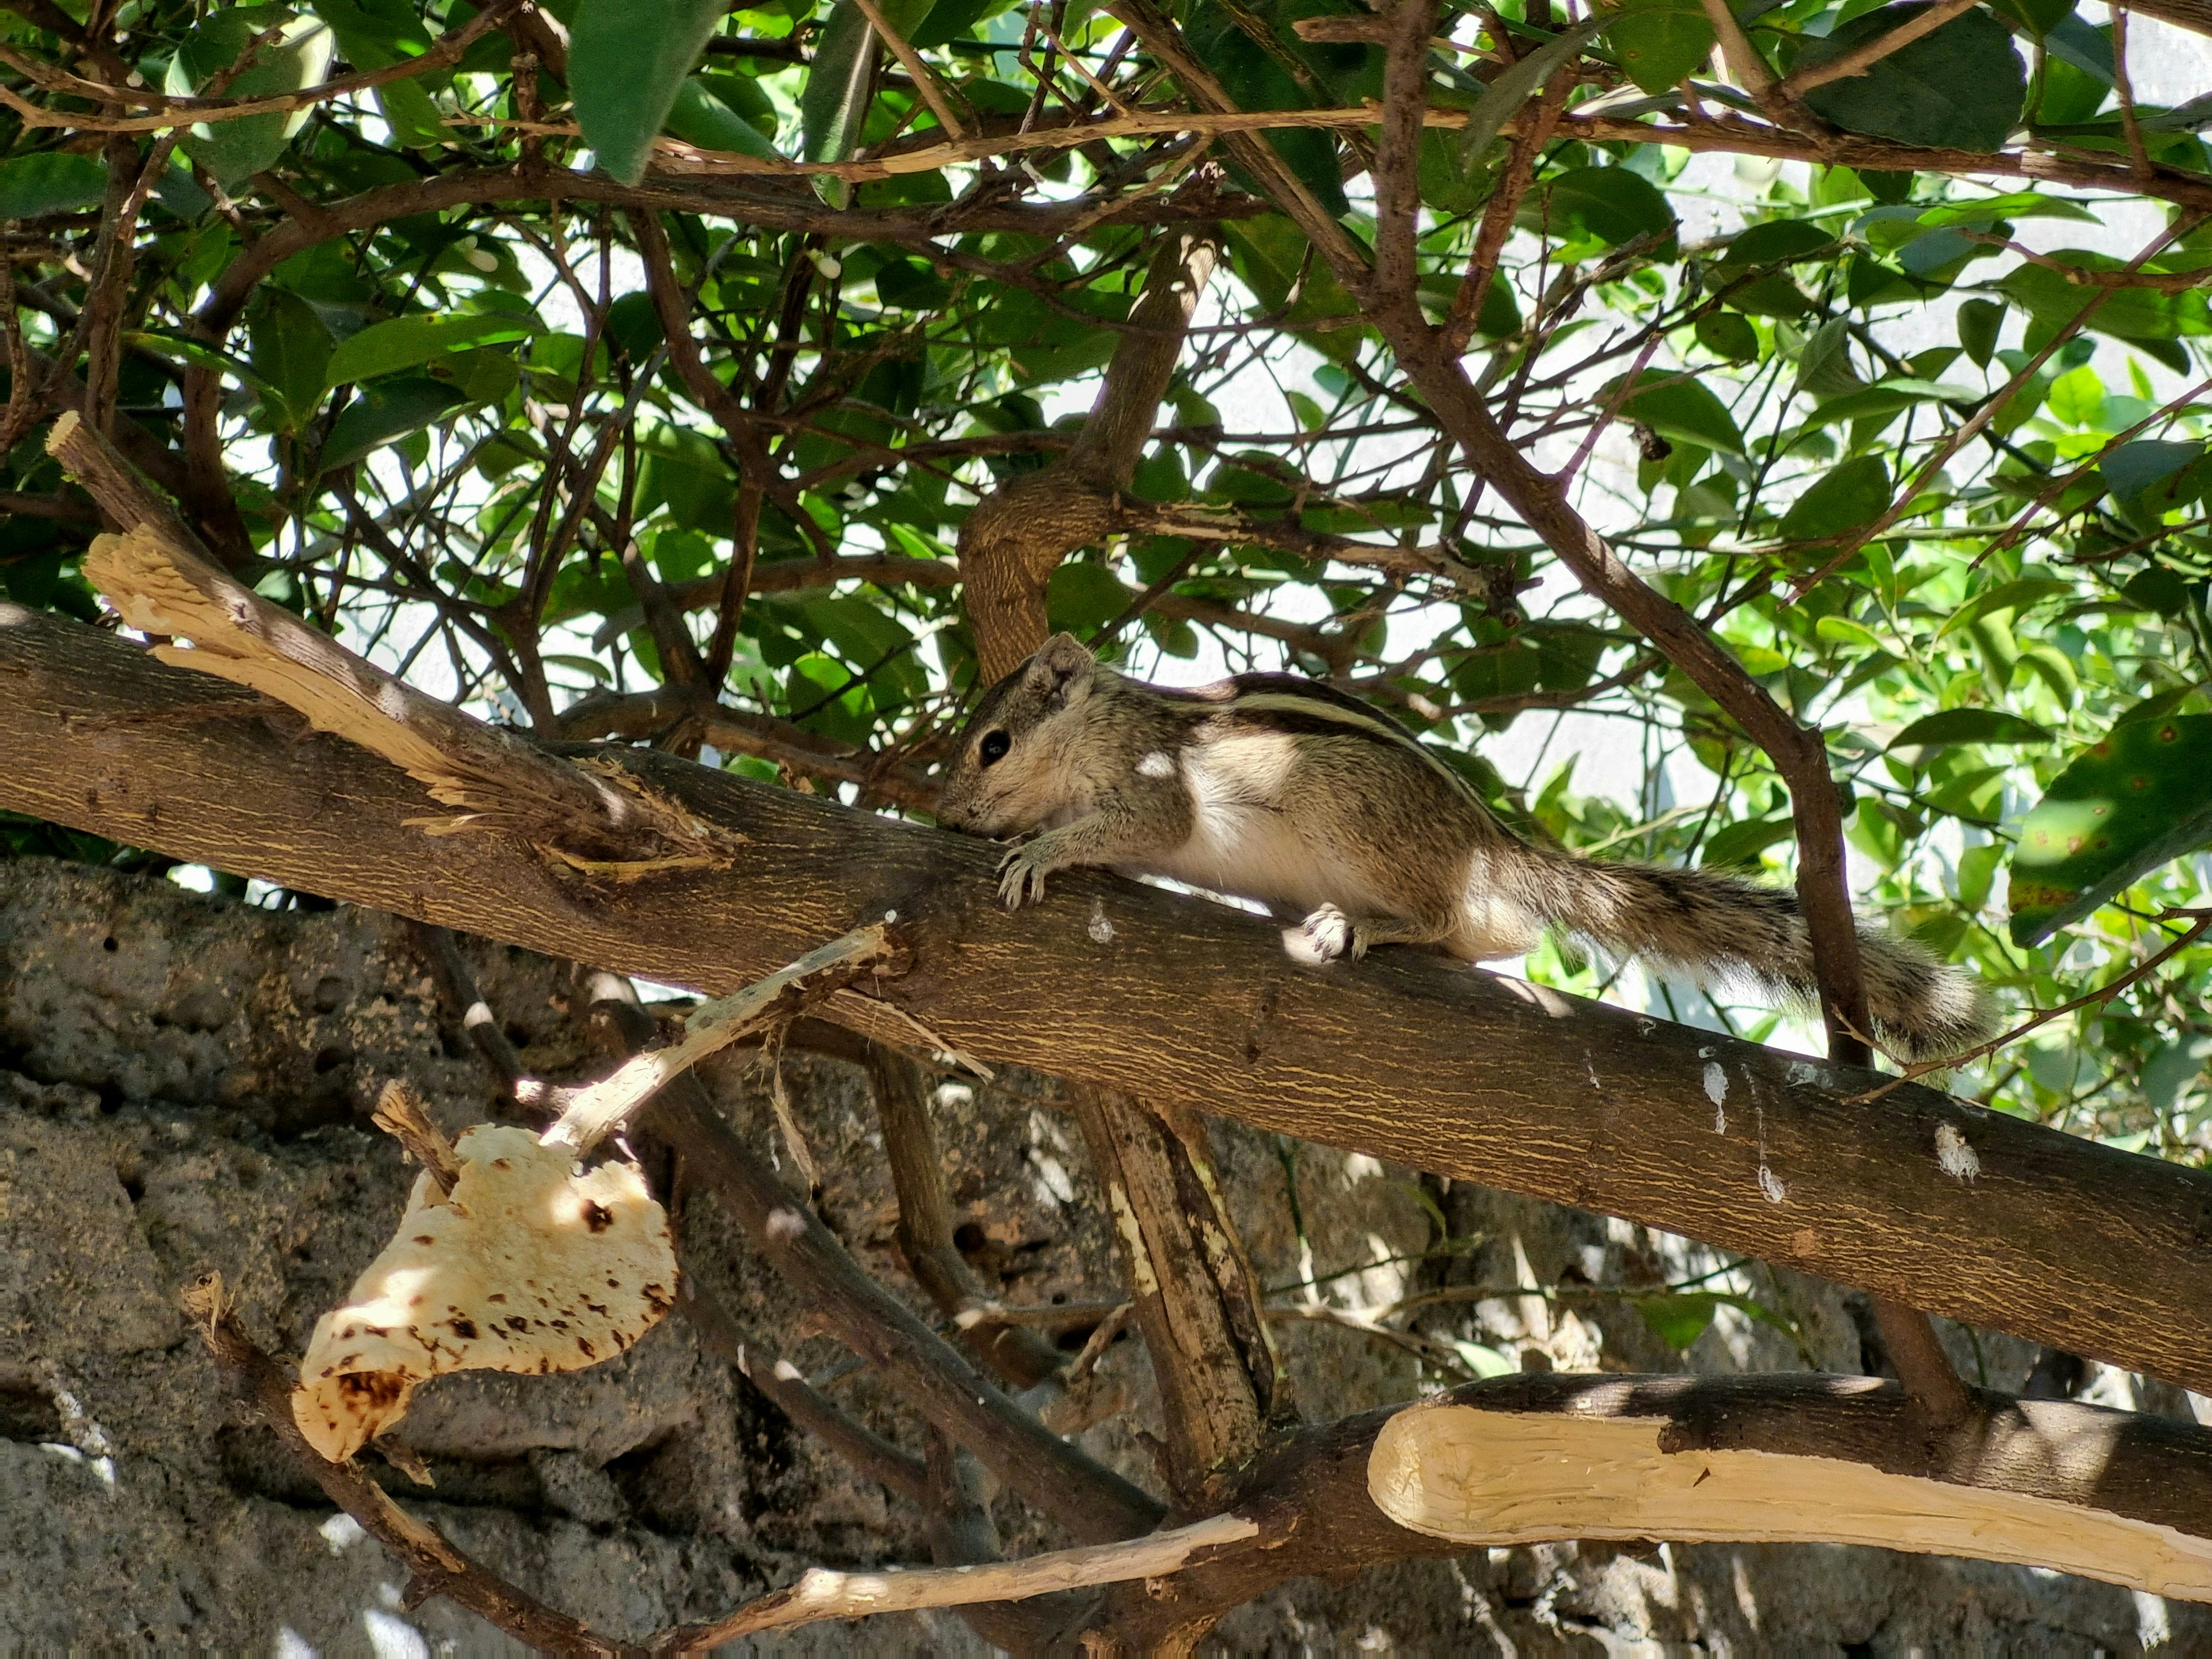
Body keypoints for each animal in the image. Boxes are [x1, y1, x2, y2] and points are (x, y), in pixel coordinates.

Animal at [936, 633, 1991, 1060]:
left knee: (1450, 913)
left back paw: (1366, 927)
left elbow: (1140, 827)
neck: (1098, 726)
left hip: (1345, 812)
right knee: (1499, 936)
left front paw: (1041, 848)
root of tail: (1489, 846)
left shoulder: (1157, 782)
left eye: (993, 745)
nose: (948, 813)